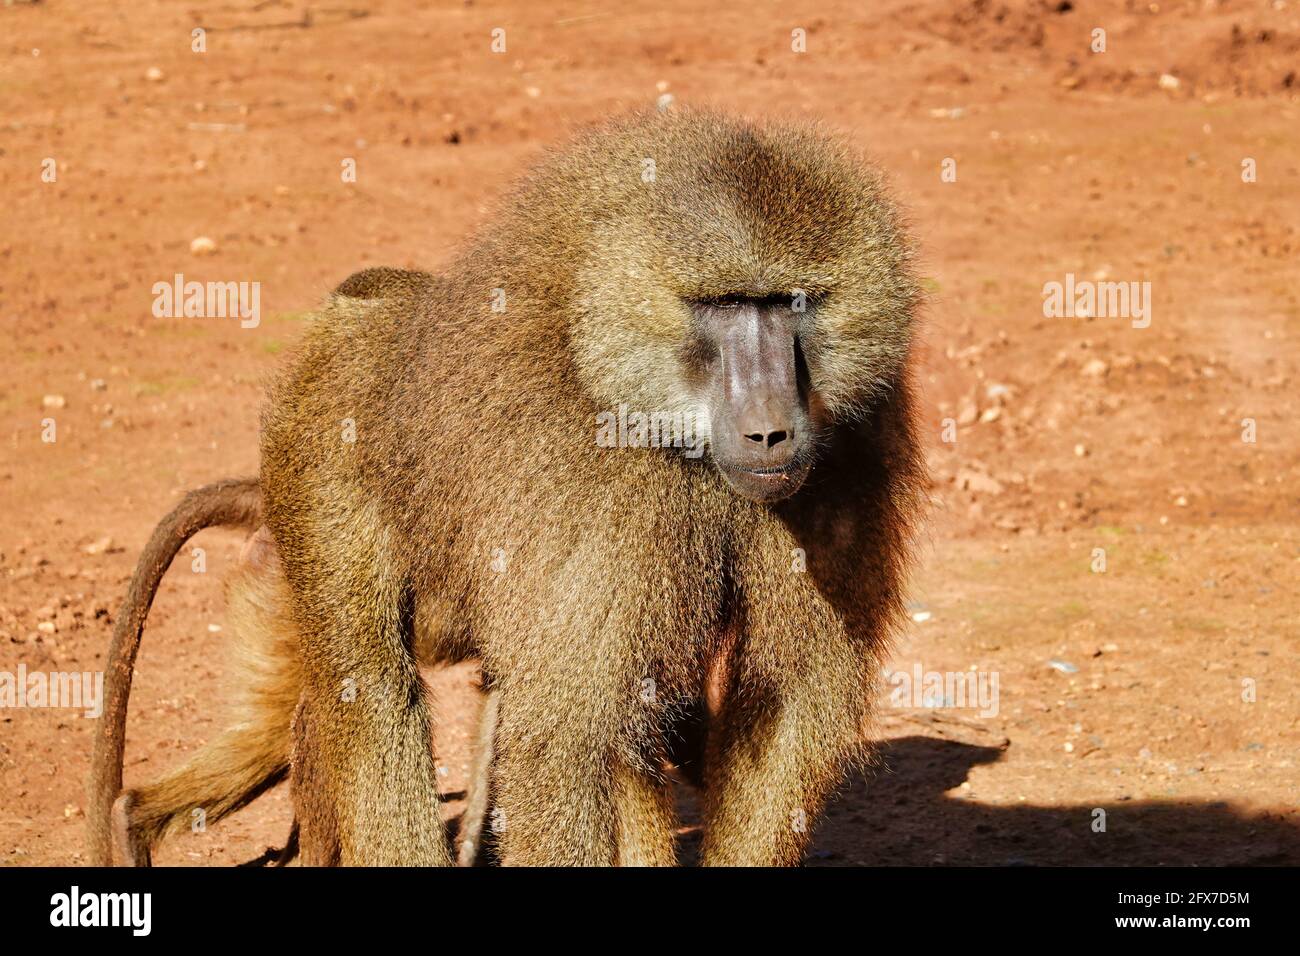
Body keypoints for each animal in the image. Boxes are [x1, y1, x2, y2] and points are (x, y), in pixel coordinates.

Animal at [93, 107, 924, 866]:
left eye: (790, 303)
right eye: (721, 306)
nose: (769, 431)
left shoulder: (848, 458)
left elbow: (785, 703)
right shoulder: (587, 486)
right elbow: (566, 744)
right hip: (318, 444)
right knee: (368, 688)